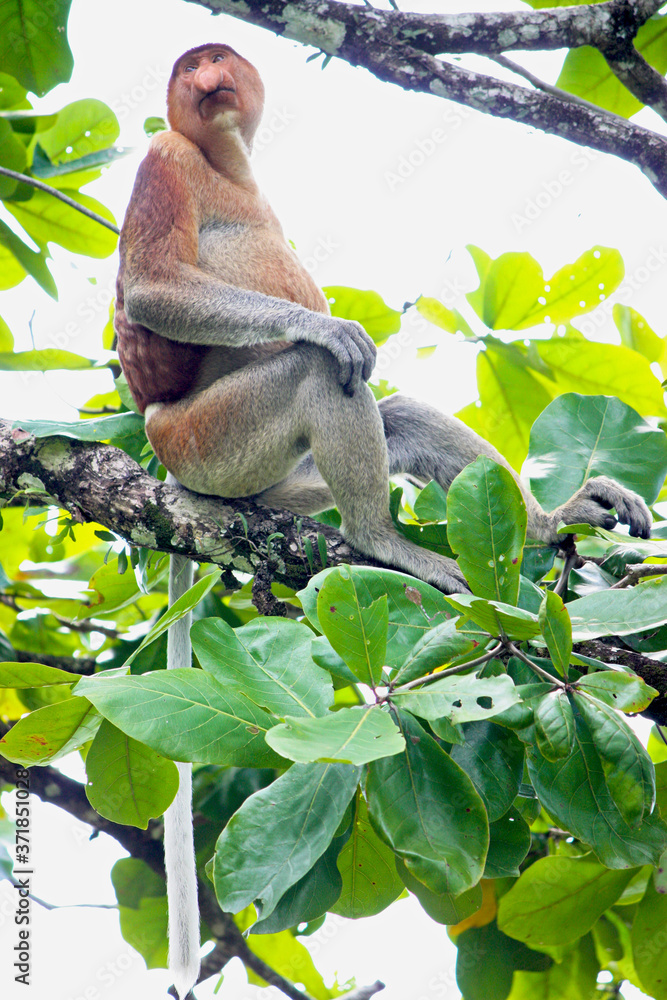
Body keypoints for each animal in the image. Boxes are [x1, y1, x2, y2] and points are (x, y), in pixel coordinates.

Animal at [114, 44, 652, 997]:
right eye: (193, 68)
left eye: (218, 63)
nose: (209, 79)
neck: (224, 162)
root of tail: (167, 459)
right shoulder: (166, 159)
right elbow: (153, 288)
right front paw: (332, 325)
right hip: (212, 441)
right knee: (316, 370)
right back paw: (381, 534)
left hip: (277, 480)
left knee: (392, 415)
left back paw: (551, 520)